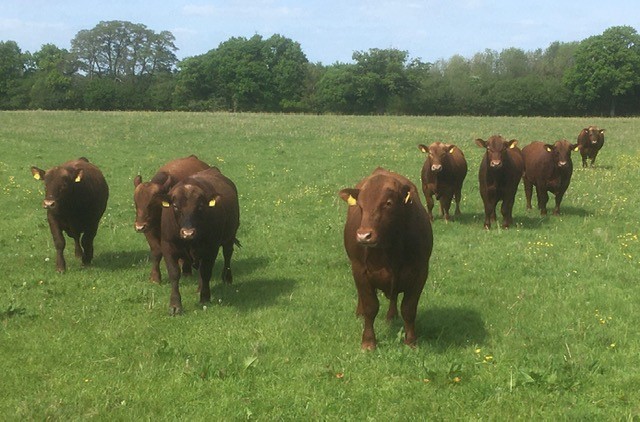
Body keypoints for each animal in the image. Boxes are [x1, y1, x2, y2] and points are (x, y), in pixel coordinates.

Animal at [160, 167, 240, 315]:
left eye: (200, 206)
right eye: (175, 206)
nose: (188, 233)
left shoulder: (211, 248)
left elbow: (206, 272)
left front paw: (205, 298)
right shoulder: (167, 247)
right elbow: (174, 274)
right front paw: (175, 305)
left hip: (230, 236)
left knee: (227, 255)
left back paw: (227, 278)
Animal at [339, 168, 433, 350]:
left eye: (388, 203)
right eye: (360, 205)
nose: (364, 235)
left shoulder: (420, 272)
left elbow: (409, 309)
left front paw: (411, 341)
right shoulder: (360, 270)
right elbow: (370, 307)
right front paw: (368, 342)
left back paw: (391, 315)